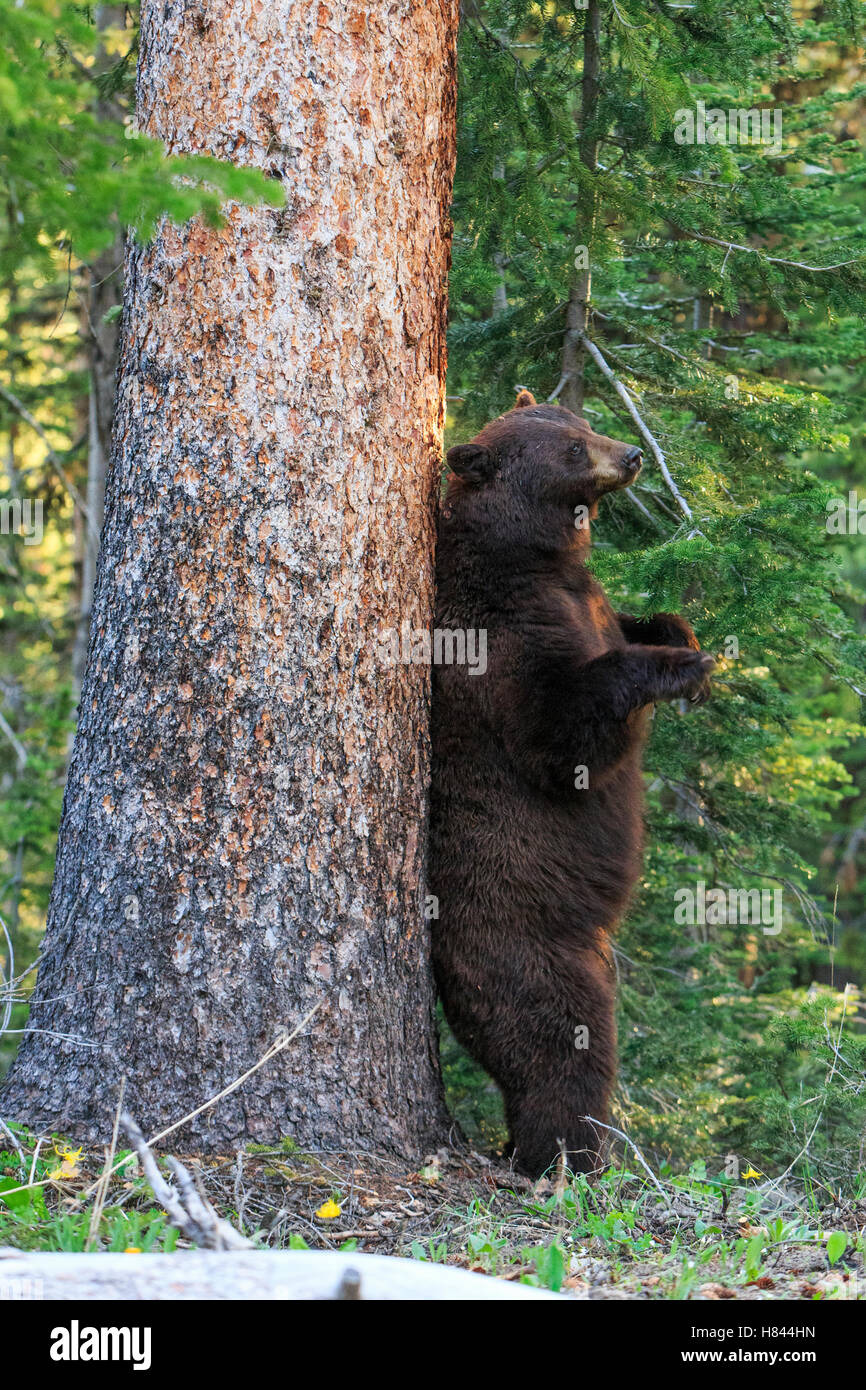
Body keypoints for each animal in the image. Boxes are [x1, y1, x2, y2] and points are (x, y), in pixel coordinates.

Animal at [429, 389, 713, 1179]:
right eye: (571, 448)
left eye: (581, 422)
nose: (634, 454)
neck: (536, 560)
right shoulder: (496, 640)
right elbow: (560, 735)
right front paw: (682, 667)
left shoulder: (587, 598)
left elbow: (631, 618)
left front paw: (680, 632)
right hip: (529, 949)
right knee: (561, 1045)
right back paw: (564, 1155)